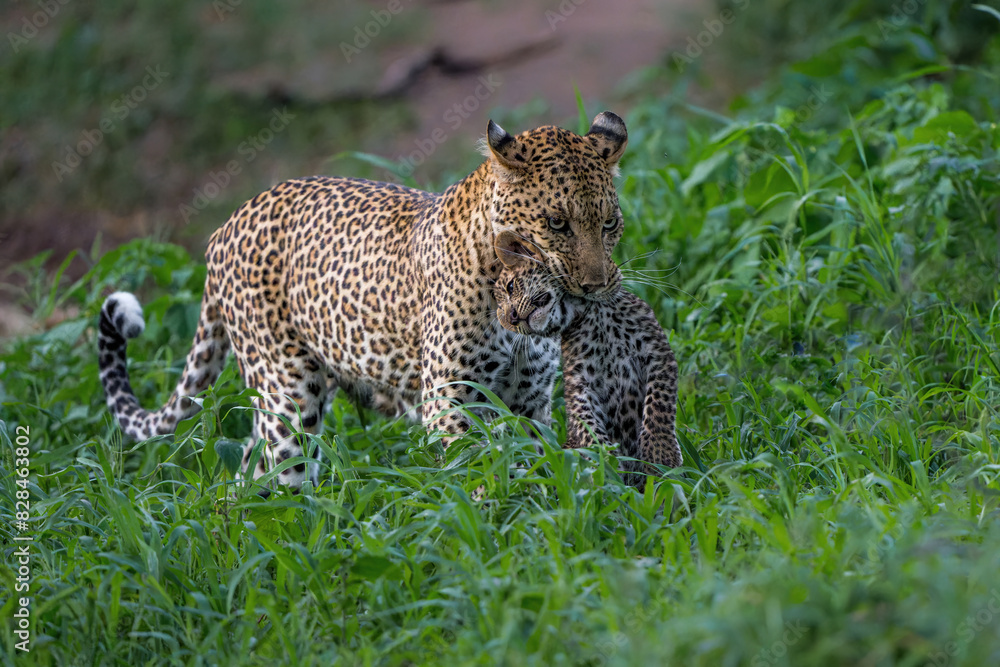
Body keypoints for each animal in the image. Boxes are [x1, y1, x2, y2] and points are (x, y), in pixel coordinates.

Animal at [97, 112, 629, 492]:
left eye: (609, 224)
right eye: (557, 223)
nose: (597, 285)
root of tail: (224, 227)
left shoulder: (528, 402)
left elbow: (529, 465)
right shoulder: (451, 401)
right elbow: (477, 472)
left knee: (249, 470)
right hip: (288, 391)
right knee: (282, 472)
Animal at [491, 242, 681, 486]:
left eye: (511, 286)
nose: (511, 319)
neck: (592, 311)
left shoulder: (658, 356)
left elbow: (659, 406)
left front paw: (660, 456)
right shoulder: (580, 382)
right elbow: (587, 425)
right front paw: (606, 464)